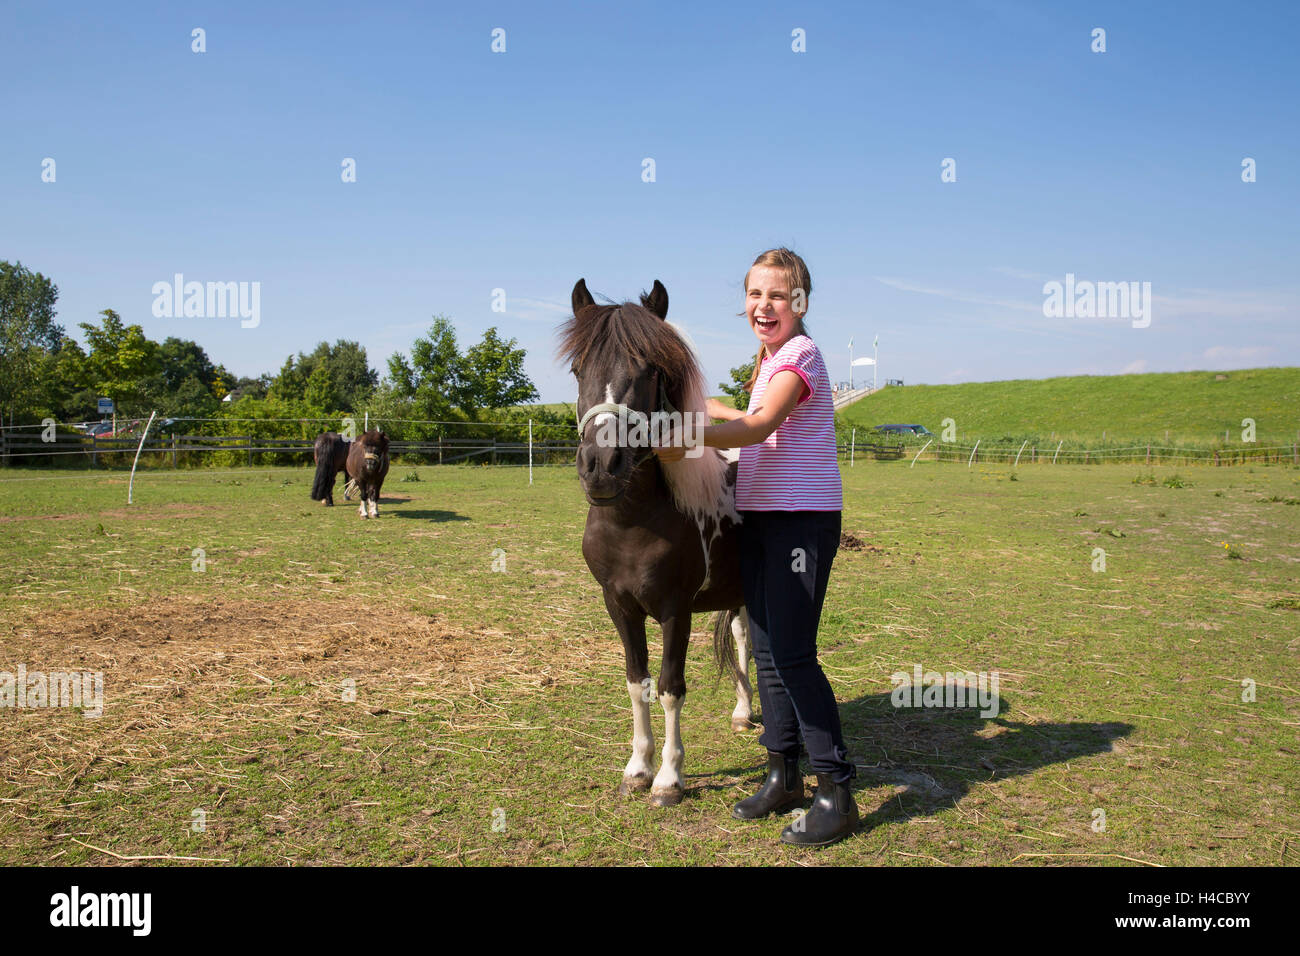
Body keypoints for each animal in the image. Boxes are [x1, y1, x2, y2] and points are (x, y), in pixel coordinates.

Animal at [558, 277, 753, 808]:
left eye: (651, 371)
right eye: (577, 369)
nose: (601, 466)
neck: (632, 524)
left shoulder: (674, 609)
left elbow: (668, 687)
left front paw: (668, 778)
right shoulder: (619, 605)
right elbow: (636, 682)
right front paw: (638, 768)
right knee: (742, 638)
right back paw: (744, 713)